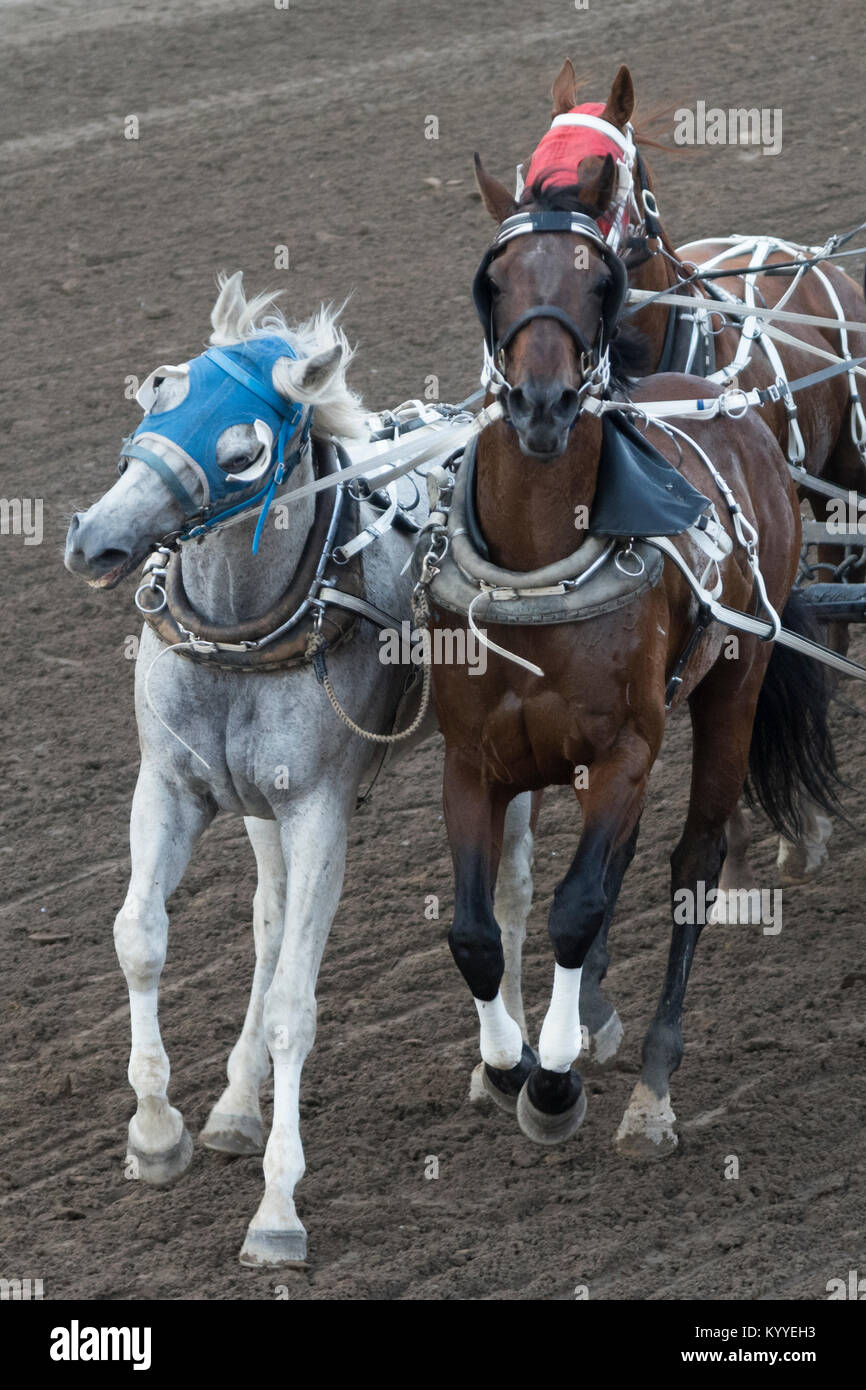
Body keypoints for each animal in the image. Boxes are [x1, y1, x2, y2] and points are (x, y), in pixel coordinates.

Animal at [63, 271, 536, 1265]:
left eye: (243, 452)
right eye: (160, 387)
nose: (95, 541)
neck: (246, 634)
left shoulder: (321, 810)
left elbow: (295, 1003)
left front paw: (278, 1208)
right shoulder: (171, 787)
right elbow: (143, 938)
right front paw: (157, 1132)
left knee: (512, 892)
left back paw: (514, 1053)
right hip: (257, 807)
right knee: (269, 916)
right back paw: (237, 1106)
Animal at [424, 178, 840, 1155]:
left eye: (598, 282)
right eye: (496, 278)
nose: (540, 405)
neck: (540, 565)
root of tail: (728, 404)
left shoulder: (622, 753)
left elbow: (578, 907)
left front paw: (553, 1082)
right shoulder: (474, 764)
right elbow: (474, 933)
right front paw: (506, 1062)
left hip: (736, 683)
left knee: (694, 858)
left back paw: (653, 1079)